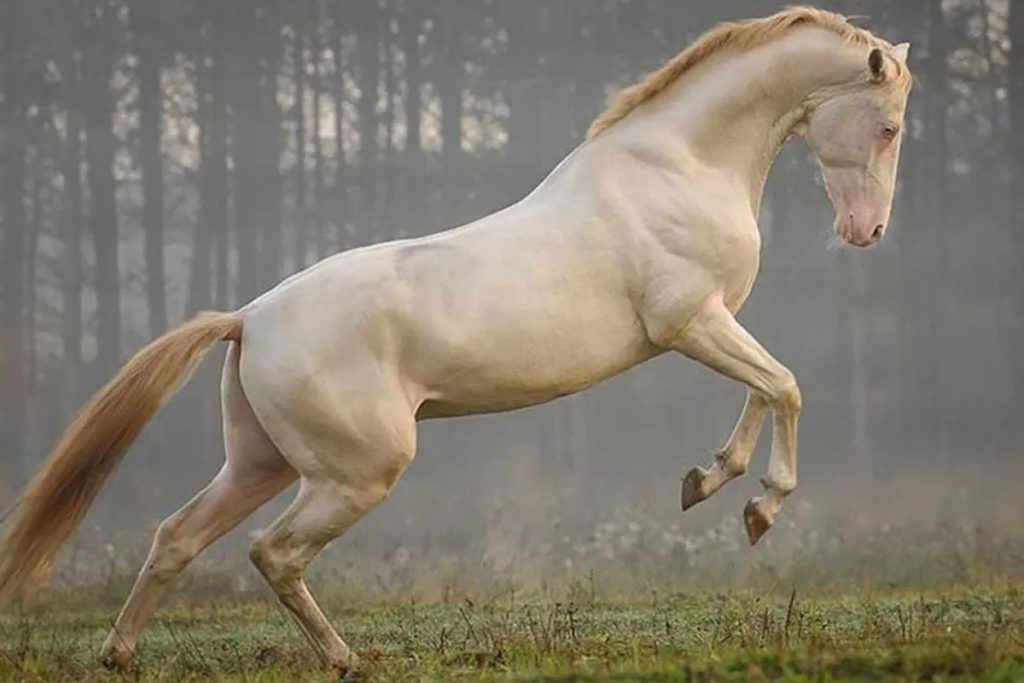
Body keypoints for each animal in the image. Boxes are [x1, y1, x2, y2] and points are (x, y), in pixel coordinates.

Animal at [0, 6, 912, 677]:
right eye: (890, 127)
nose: (867, 232)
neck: (679, 165)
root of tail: (251, 316)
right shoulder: (691, 320)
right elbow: (785, 384)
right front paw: (759, 505)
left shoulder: (710, 320)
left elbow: (762, 390)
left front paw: (712, 482)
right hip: (355, 473)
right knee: (274, 553)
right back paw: (345, 659)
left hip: (259, 464)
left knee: (177, 537)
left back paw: (119, 654)